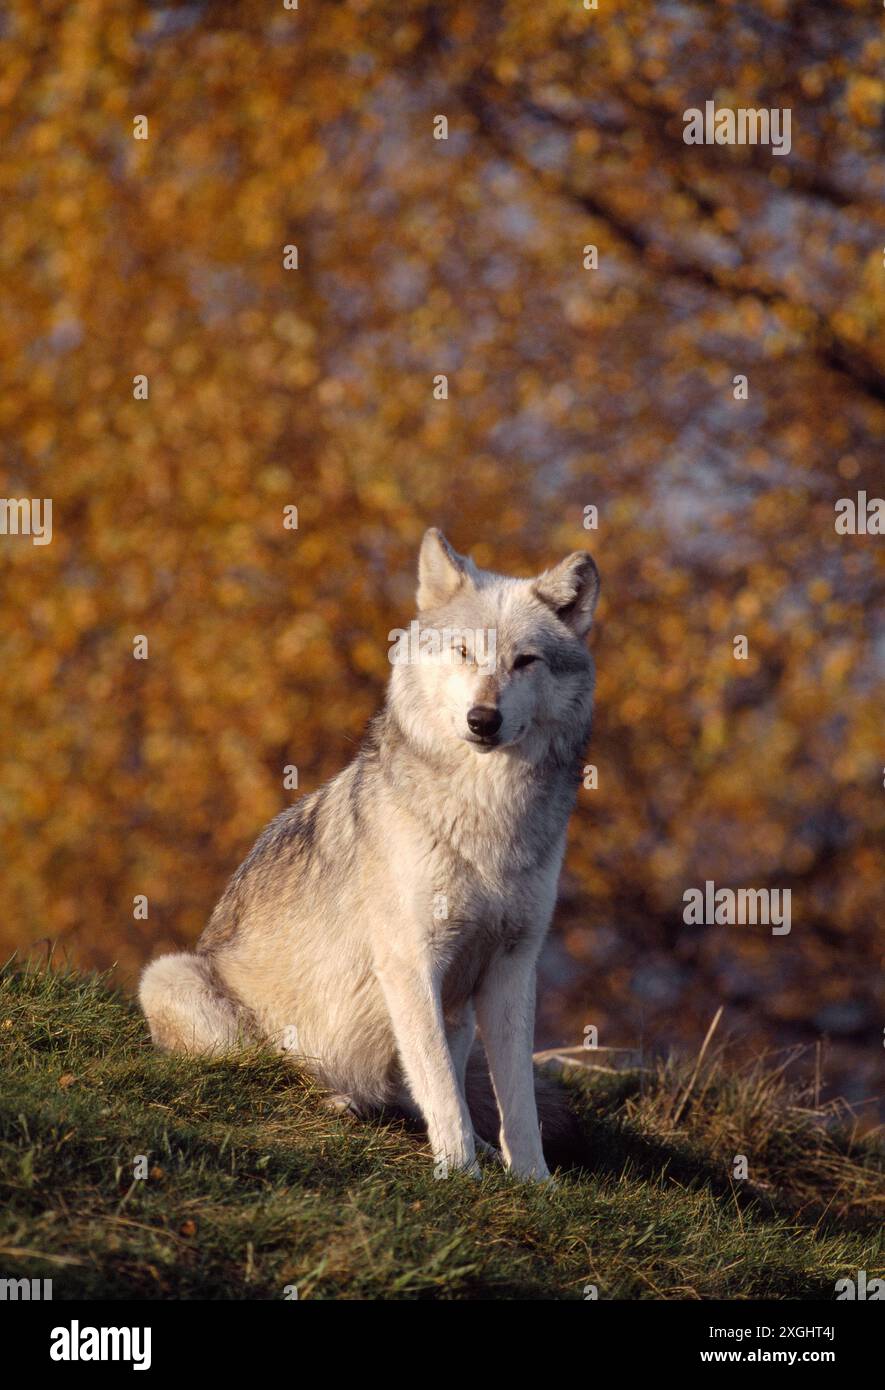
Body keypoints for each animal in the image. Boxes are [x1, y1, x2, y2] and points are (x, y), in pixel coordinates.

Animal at [139, 529, 600, 1181]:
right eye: (463, 651)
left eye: (525, 661)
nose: (482, 719)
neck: (488, 813)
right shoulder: (411, 964)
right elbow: (442, 1090)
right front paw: (459, 1174)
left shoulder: (513, 966)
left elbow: (515, 1102)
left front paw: (534, 1182)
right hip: (176, 981)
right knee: (269, 1071)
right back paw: (336, 1099)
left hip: (457, 1016)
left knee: (417, 1095)